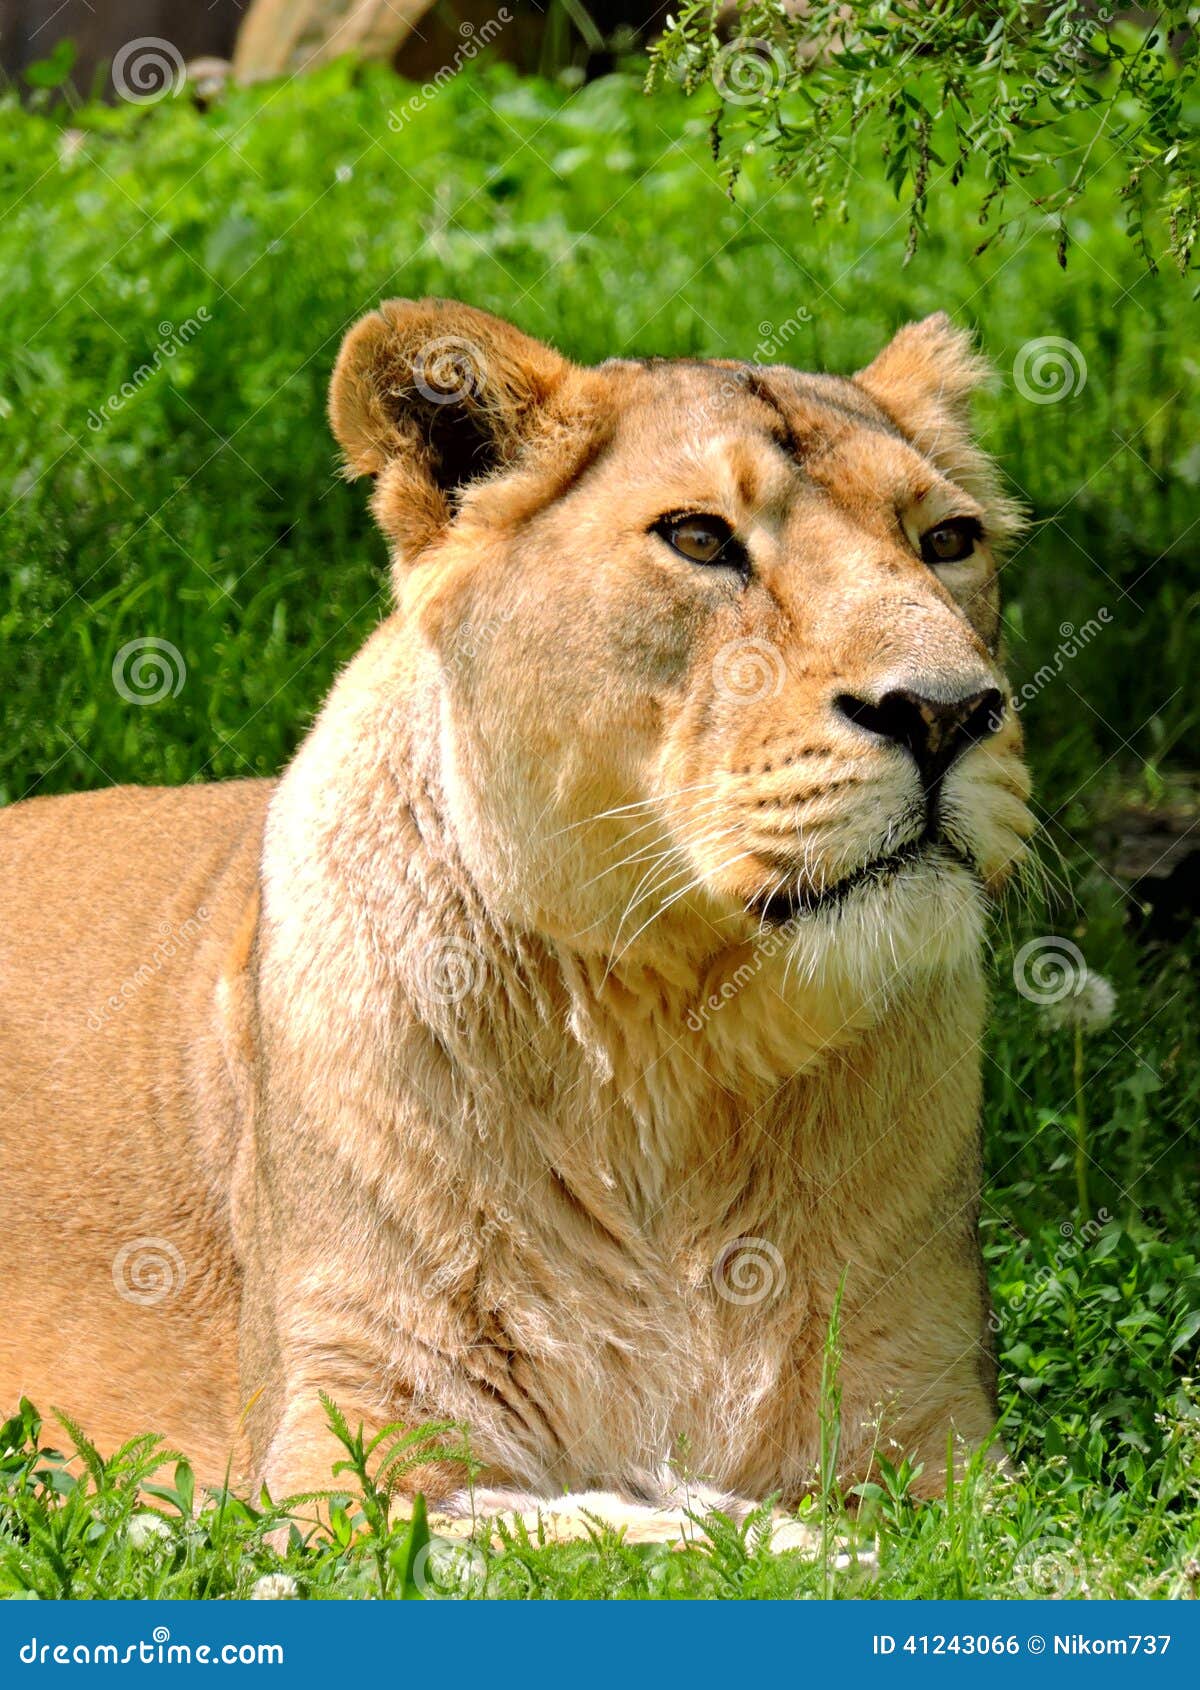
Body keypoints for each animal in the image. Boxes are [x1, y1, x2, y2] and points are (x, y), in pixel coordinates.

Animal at [0, 300, 1032, 1545]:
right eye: (699, 538)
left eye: (948, 540)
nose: (947, 712)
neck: (674, 1051)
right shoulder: (344, 1461)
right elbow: (604, 1527)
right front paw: (751, 1524)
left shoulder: (946, 1443)